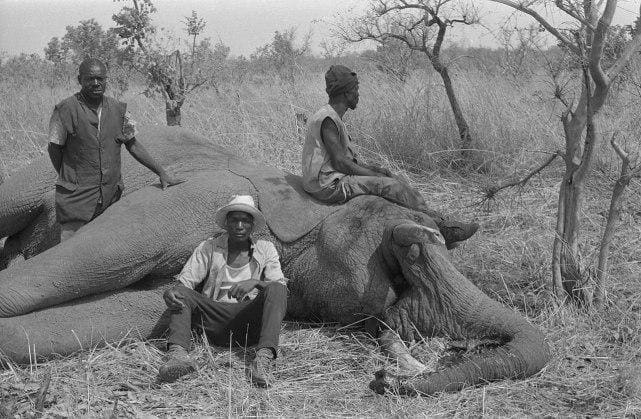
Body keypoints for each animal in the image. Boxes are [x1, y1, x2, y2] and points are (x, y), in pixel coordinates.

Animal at [0, 126, 550, 395]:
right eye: (407, 255)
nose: (383, 379)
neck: (318, 205)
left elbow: (133, 309)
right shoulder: (197, 192)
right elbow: (98, 258)